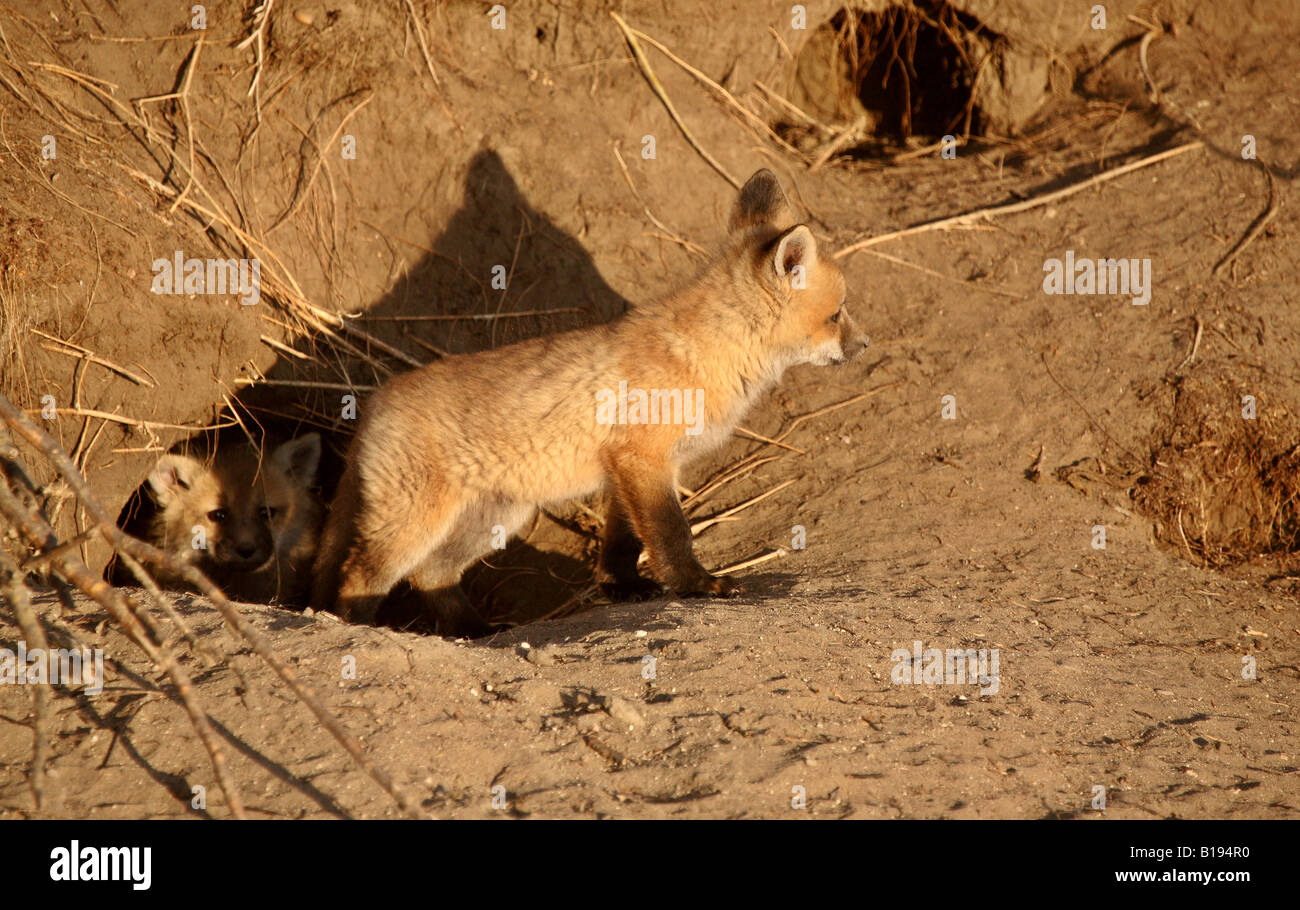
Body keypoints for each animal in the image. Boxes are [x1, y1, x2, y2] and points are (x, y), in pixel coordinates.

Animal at [312, 169, 868, 636]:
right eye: (837, 315)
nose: (865, 345)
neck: (706, 352)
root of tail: (375, 401)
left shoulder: (629, 468)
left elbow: (625, 541)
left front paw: (624, 588)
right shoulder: (644, 459)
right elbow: (672, 533)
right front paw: (697, 585)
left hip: (492, 518)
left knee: (431, 574)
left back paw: (476, 631)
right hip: (415, 522)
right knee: (359, 575)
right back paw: (355, 626)